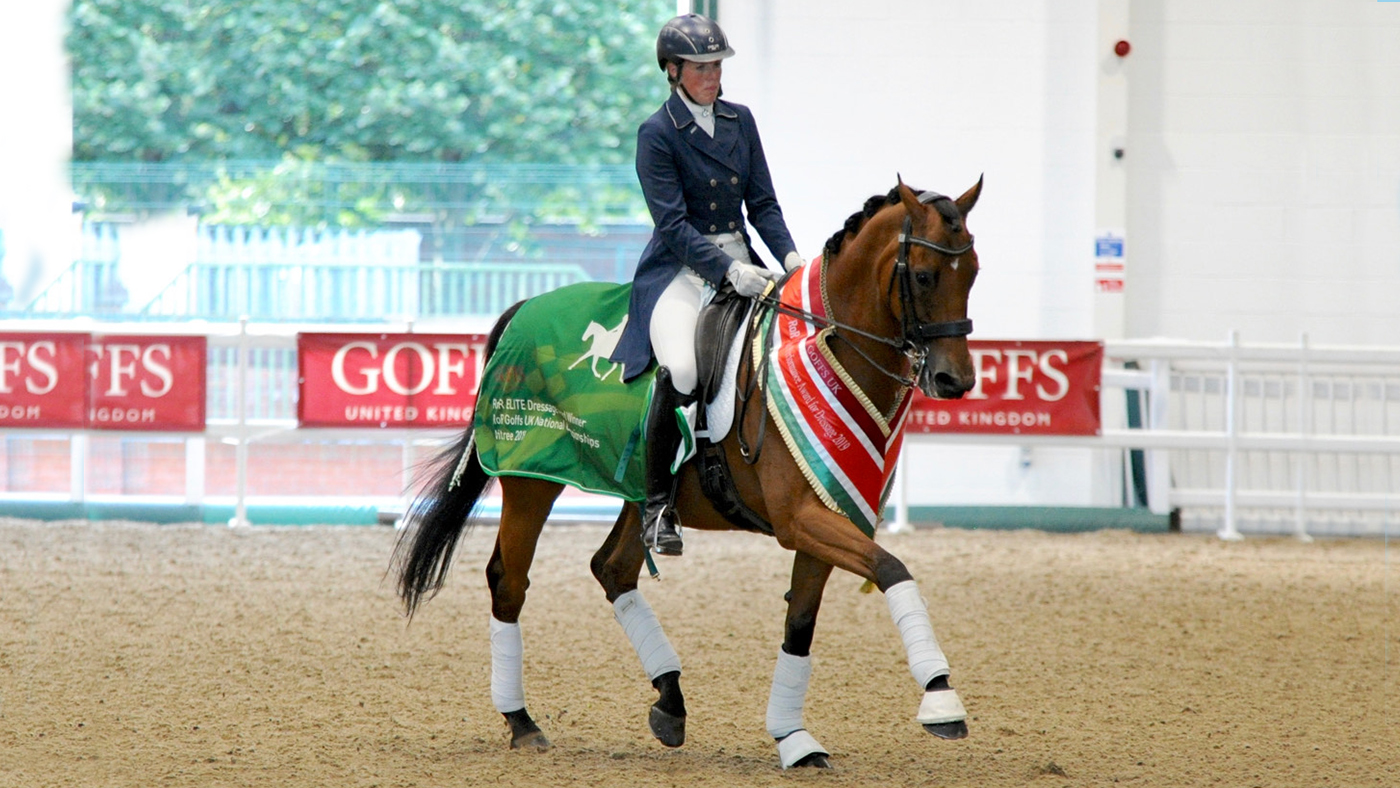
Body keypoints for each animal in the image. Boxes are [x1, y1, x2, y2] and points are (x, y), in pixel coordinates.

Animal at [392, 177, 983, 769]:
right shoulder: (800, 519)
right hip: (531, 480)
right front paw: (941, 700)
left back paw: (669, 702)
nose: (954, 381)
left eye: (974, 271)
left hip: (638, 492)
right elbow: (892, 569)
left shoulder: (831, 509)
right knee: (509, 581)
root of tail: (523, 308)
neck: (822, 347)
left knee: (612, 569)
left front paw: (793, 739)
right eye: (925, 275)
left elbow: (801, 624)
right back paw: (522, 722)